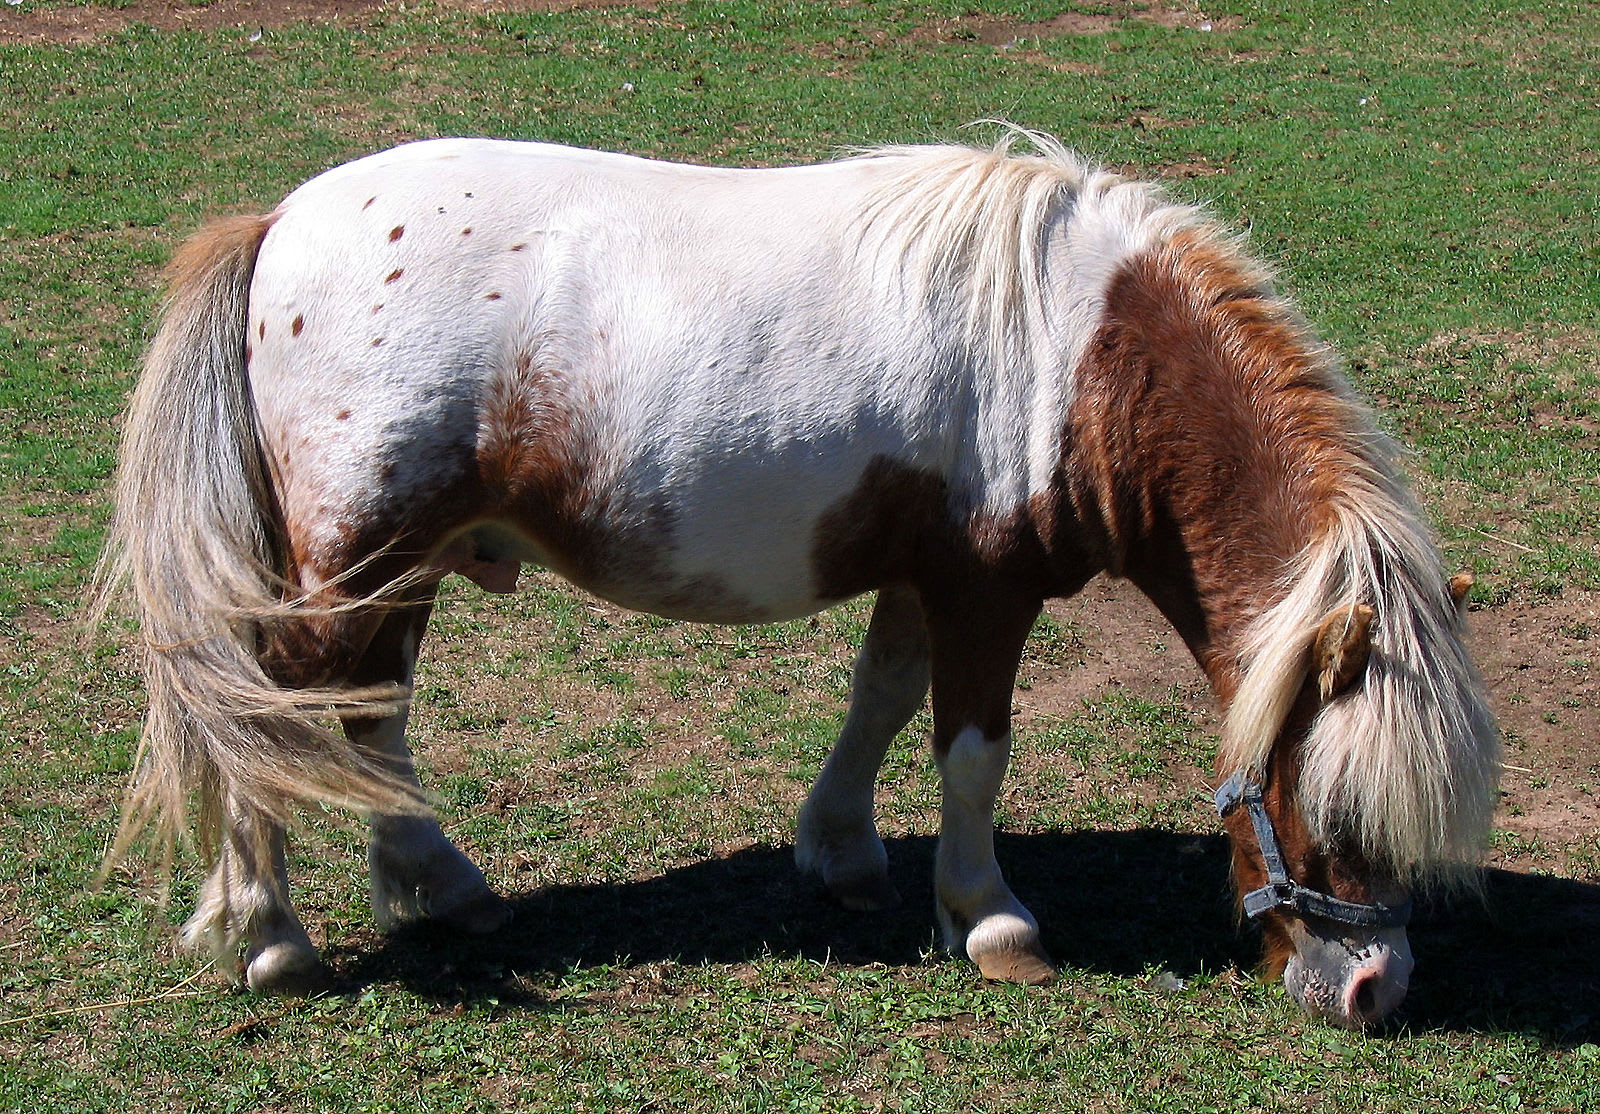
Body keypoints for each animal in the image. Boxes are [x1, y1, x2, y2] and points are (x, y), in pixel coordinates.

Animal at [95, 129, 1500, 1028]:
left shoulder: (920, 572)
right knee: (271, 720)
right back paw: (271, 936)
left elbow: (879, 697)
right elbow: (971, 751)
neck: (1080, 355)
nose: (1377, 992)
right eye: (1333, 805)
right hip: (357, 561)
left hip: (398, 566)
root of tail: (280, 225)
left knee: (366, 717)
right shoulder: (987, 589)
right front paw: (988, 920)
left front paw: (840, 852)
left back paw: (433, 885)